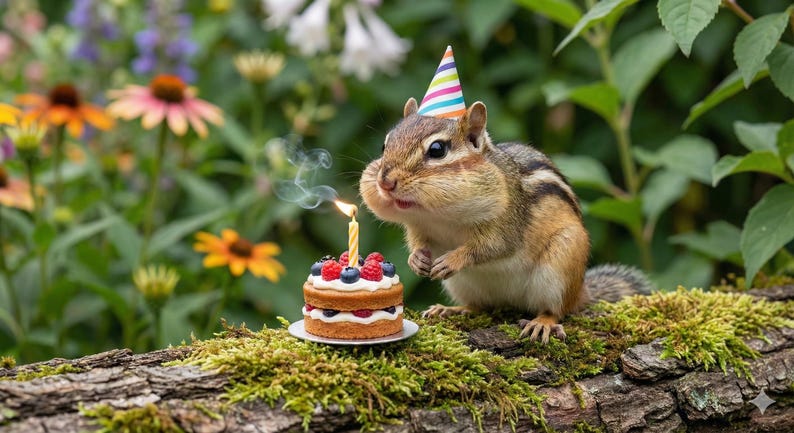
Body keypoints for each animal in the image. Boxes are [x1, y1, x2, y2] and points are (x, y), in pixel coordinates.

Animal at [359, 98, 652, 343]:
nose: (385, 182)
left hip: (560, 264)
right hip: (462, 285)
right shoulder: (418, 226)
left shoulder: (509, 220)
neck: (439, 216)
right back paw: (452, 309)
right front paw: (417, 260)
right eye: (384, 145)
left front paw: (453, 259)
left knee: (557, 310)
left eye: (437, 149)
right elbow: (418, 242)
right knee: (478, 306)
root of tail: (581, 291)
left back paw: (542, 323)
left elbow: (493, 246)